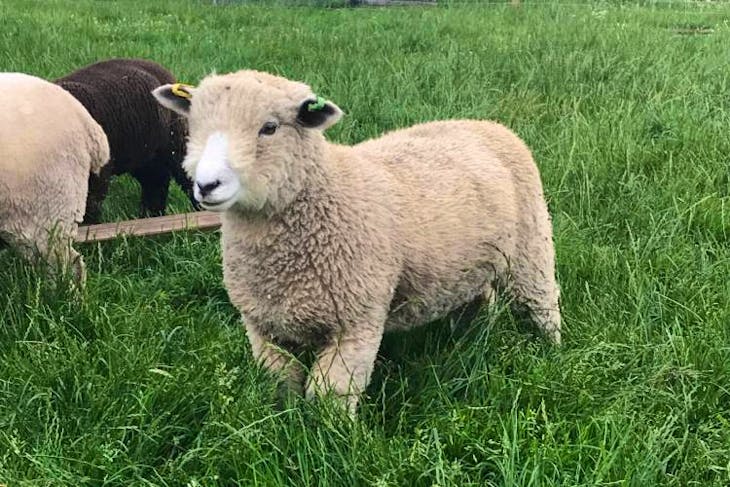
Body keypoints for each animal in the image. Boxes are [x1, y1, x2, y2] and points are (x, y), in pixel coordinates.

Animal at [55, 58, 195, 224]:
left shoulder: (98, 173)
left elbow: (90, 204)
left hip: (175, 141)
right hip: (144, 153)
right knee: (155, 181)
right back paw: (150, 215)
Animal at [153, 70, 561, 412]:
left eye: (269, 127)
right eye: (194, 125)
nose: (206, 185)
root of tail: (486, 124)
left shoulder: (356, 322)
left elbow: (328, 395)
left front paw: (334, 442)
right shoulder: (263, 328)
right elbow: (281, 384)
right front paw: (284, 424)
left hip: (531, 247)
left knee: (543, 303)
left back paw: (551, 352)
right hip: (470, 264)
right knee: (479, 299)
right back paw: (473, 340)